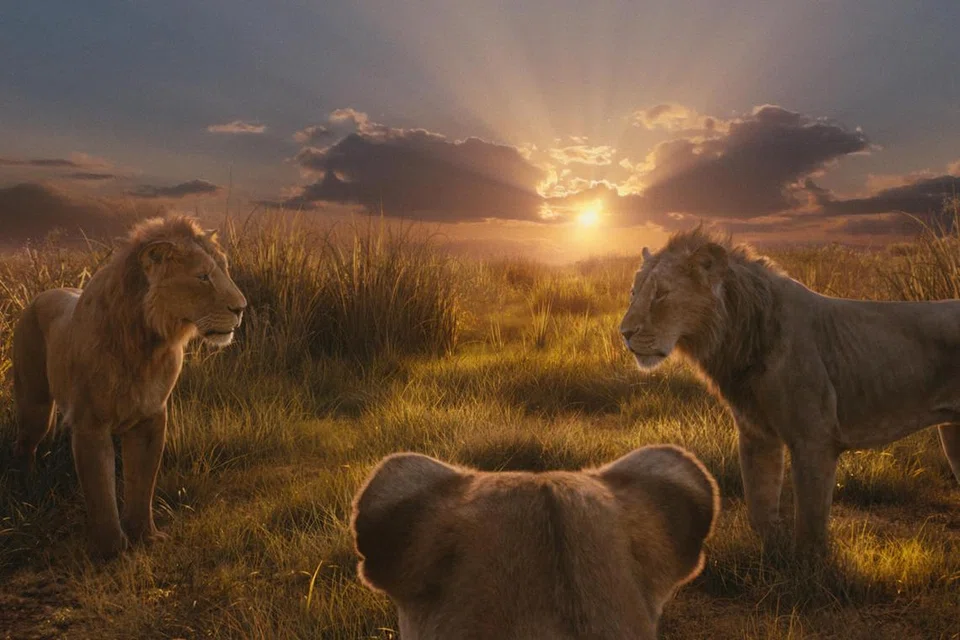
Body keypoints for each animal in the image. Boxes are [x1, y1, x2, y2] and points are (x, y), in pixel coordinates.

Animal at [12, 215, 247, 558]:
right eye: (203, 276)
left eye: (225, 269)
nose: (241, 308)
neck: (147, 344)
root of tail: (42, 294)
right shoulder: (90, 423)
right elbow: (100, 489)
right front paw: (111, 549)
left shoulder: (151, 417)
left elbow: (141, 483)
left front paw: (145, 536)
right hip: (35, 404)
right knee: (25, 445)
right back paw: (25, 492)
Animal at [619, 227, 960, 553]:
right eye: (634, 292)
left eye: (661, 294)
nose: (624, 333)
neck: (738, 335)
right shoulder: (756, 434)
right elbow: (759, 505)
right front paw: (773, 552)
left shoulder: (814, 439)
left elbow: (810, 523)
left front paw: (810, 566)